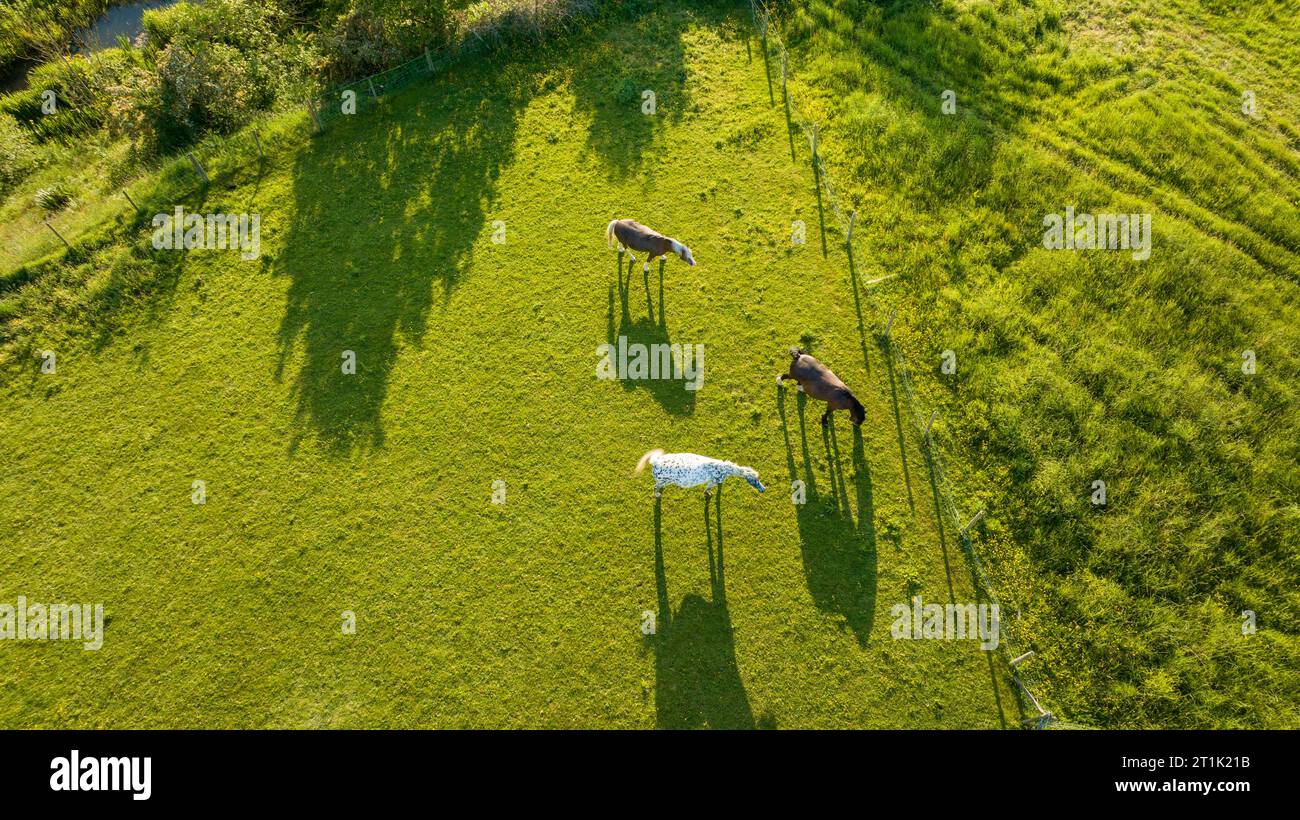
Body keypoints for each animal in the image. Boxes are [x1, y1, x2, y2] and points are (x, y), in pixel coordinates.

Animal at [636, 450, 765, 500]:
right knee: (655, 487)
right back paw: (658, 495)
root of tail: (655, 461)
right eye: (756, 480)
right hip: (663, 480)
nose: (764, 489)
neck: (724, 468)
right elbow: (708, 490)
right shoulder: (712, 482)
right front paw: (708, 494)